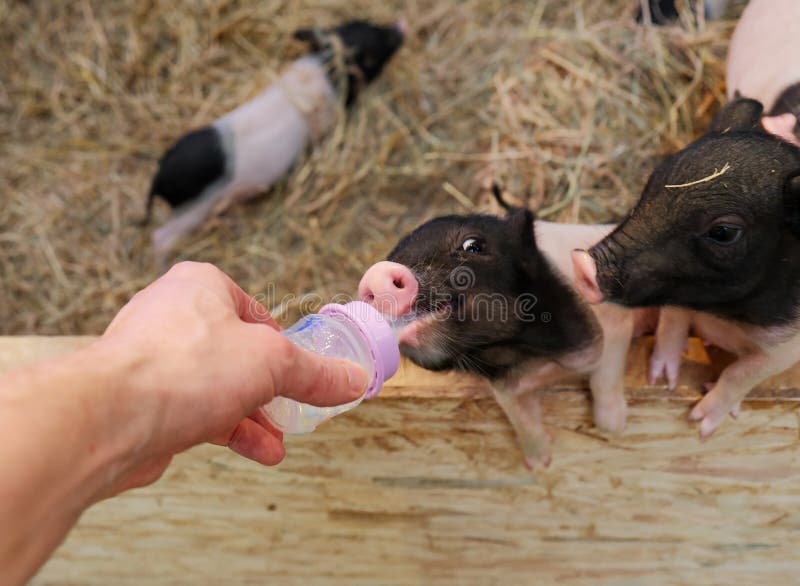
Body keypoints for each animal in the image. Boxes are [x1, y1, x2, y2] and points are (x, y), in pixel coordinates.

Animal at [142, 20, 405, 266]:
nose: (399, 27)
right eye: (374, 51)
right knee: (160, 236)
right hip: (194, 208)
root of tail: (159, 177)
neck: (326, 65)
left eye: (361, 23)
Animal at [358, 188, 656, 467]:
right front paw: (539, 464)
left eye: (473, 245)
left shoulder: (610, 324)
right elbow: (520, 417)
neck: (521, 354)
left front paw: (616, 429)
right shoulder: (505, 385)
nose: (376, 273)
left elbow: (606, 375)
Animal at [572, 0, 800, 438]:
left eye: (724, 232)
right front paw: (662, 379)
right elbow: (672, 318)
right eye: (654, 179)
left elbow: (746, 372)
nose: (582, 266)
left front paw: (701, 424)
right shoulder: (677, 286)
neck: (726, 315)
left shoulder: (788, 346)